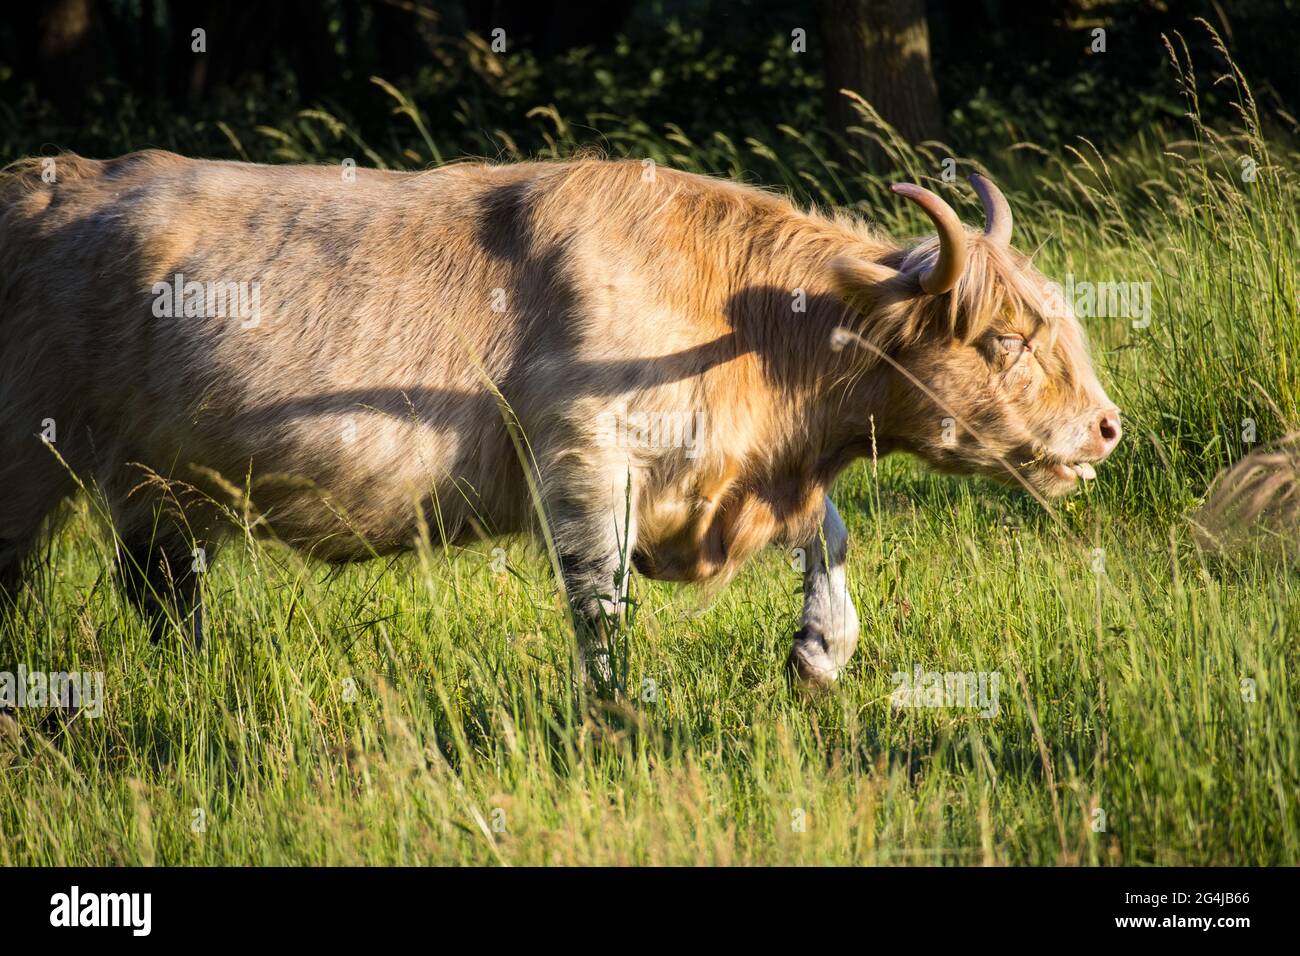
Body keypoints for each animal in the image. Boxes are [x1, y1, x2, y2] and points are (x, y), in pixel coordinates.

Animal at [0, 152, 1121, 692]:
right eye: (1005, 340)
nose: (1108, 427)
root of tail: (47, 177)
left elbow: (831, 534)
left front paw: (818, 652)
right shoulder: (586, 458)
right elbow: (601, 605)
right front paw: (615, 715)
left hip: (155, 481)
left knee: (162, 586)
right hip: (31, 457)